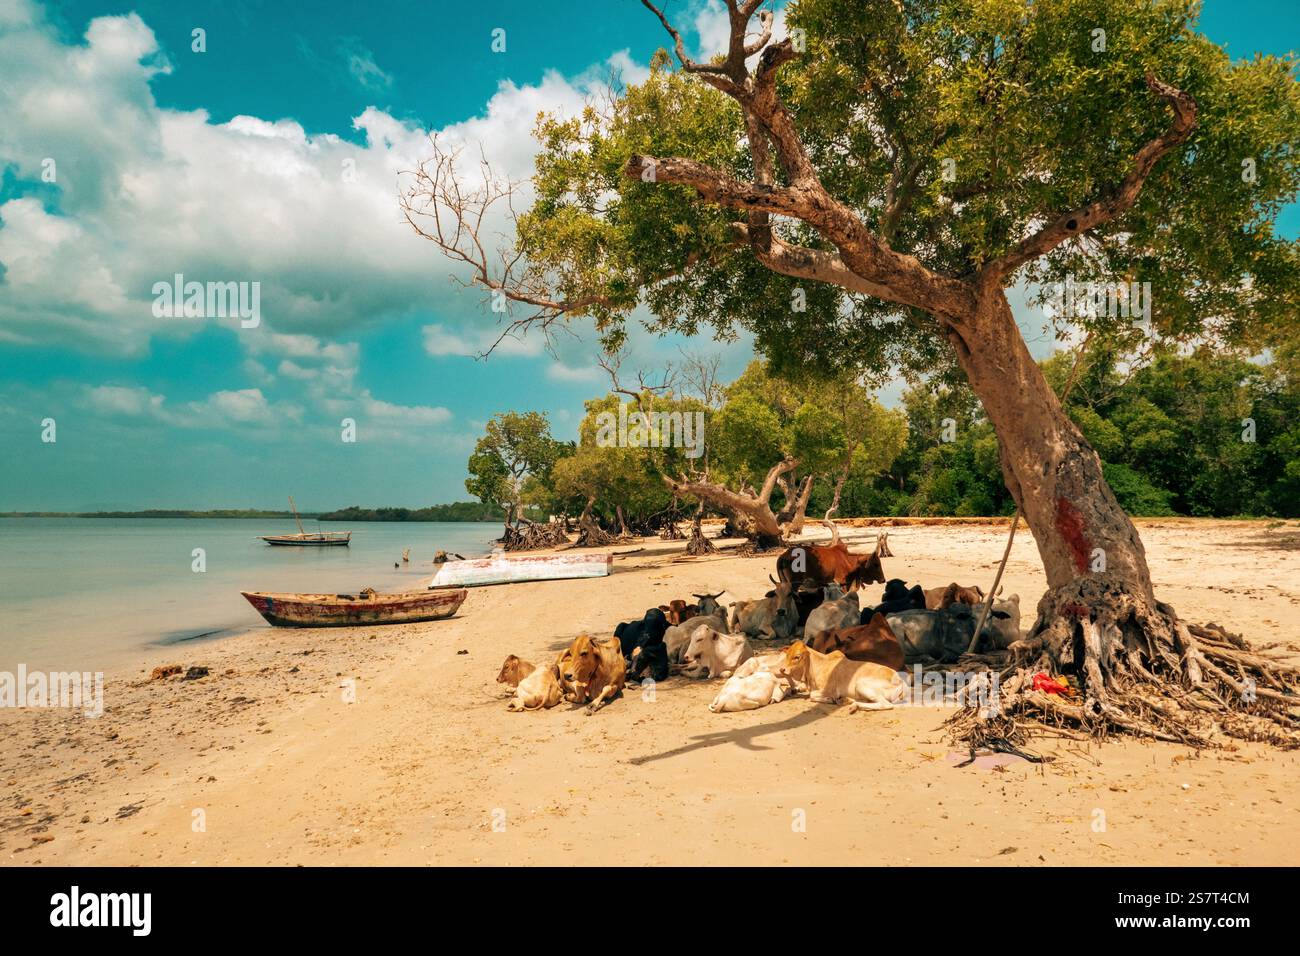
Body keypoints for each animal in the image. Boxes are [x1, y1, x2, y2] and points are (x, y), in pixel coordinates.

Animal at [777, 640, 907, 713]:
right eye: (787, 655)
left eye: (797, 657)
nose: (782, 669)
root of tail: (901, 680)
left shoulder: (830, 690)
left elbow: (812, 696)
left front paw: (830, 700)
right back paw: (847, 701)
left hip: (861, 684)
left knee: (886, 704)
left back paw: (853, 705)